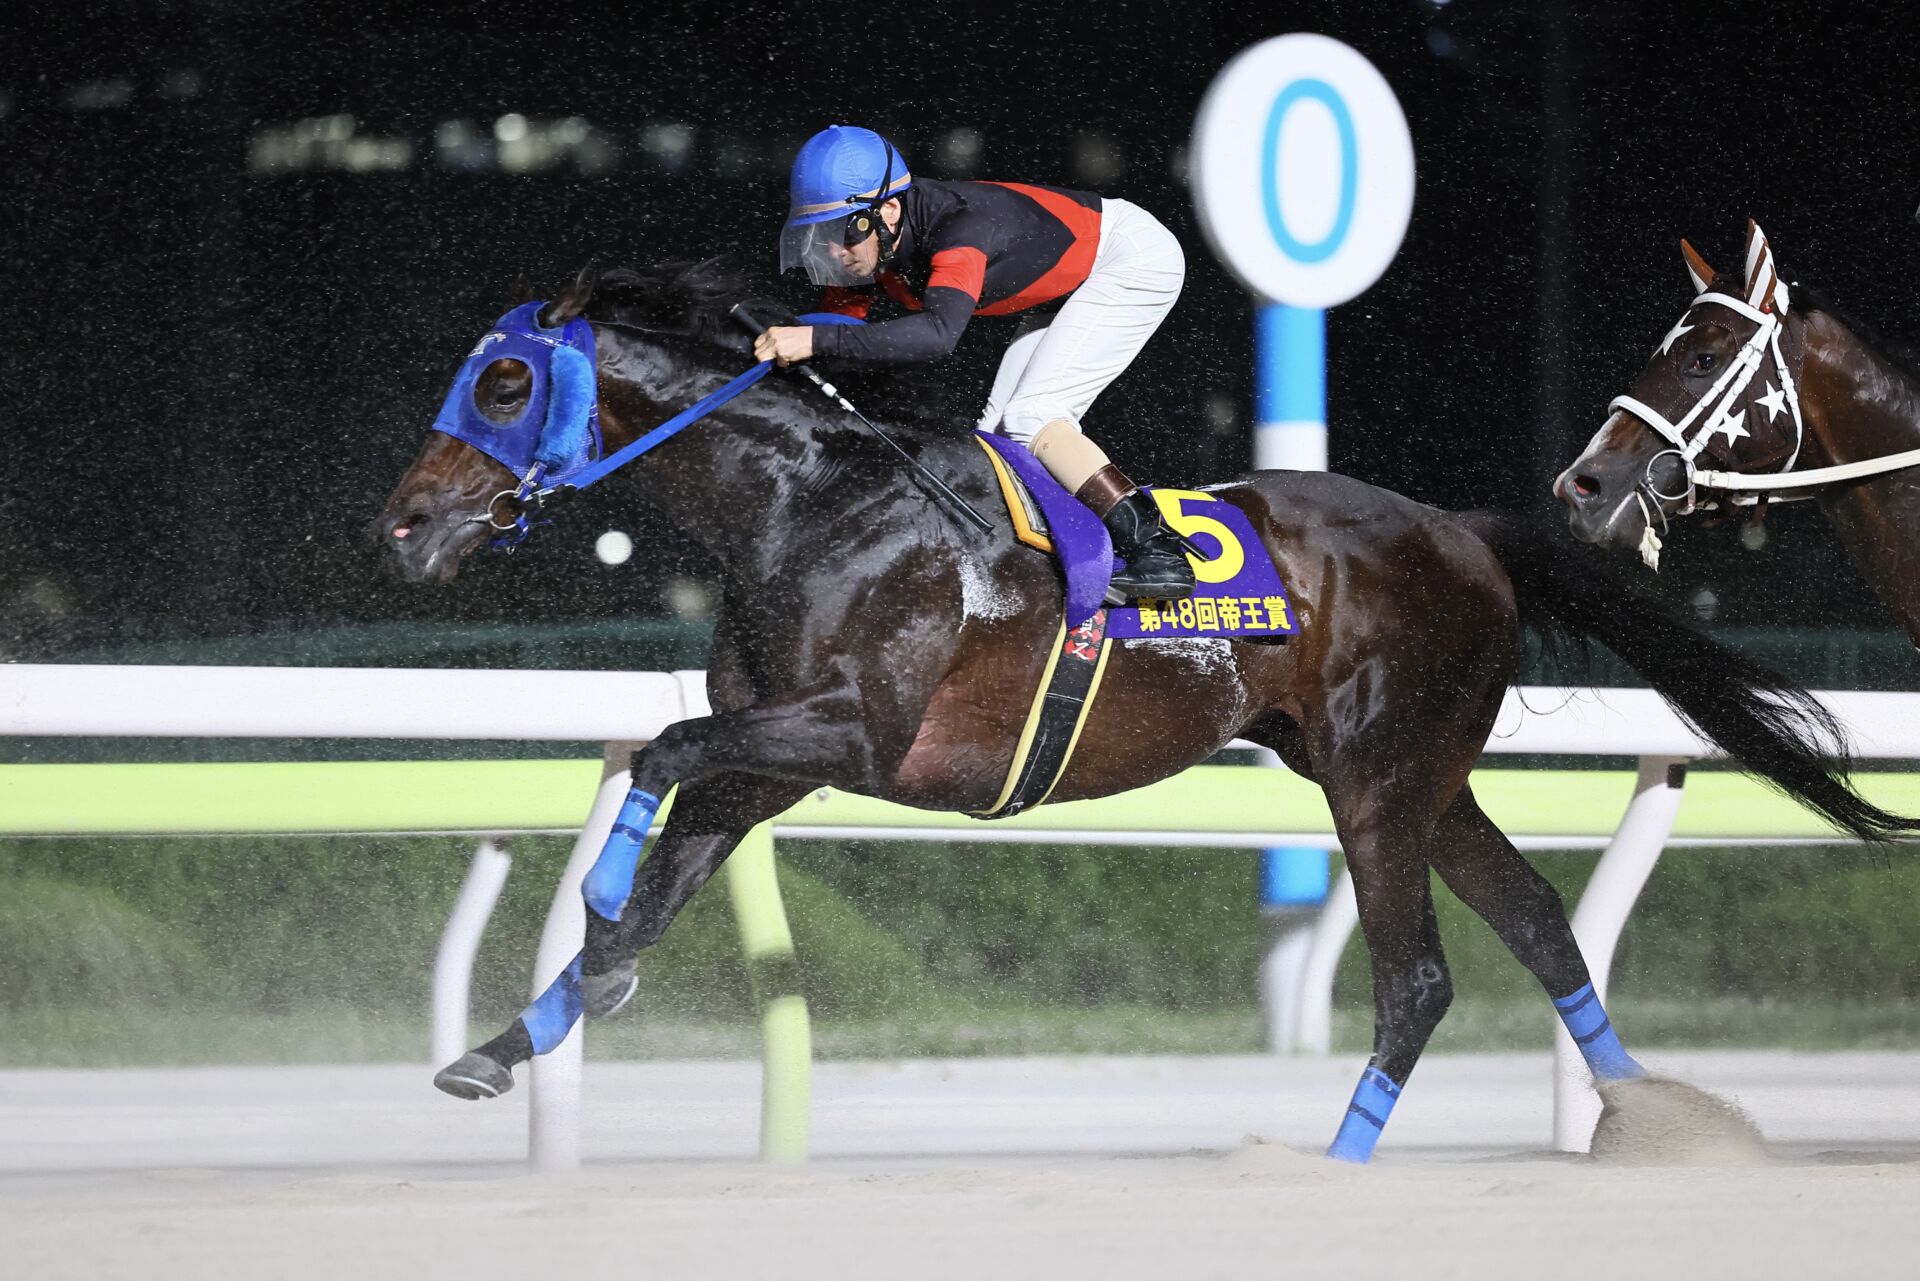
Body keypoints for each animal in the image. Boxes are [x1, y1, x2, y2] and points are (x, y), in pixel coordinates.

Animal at [377, 258, 1914, 1162]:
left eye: (502, 380)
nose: (405, 527)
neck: (811, 505)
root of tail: (1468, 533)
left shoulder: (857, 737)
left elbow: (663, 761)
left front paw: (595, 912)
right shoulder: (782, 758)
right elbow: (662, 860)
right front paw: (501, 1048)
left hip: (1373, 778)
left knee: (1416, 980)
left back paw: (1340, 1174)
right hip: (1418, 773)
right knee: (1540, 925)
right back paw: (1654, 1117)